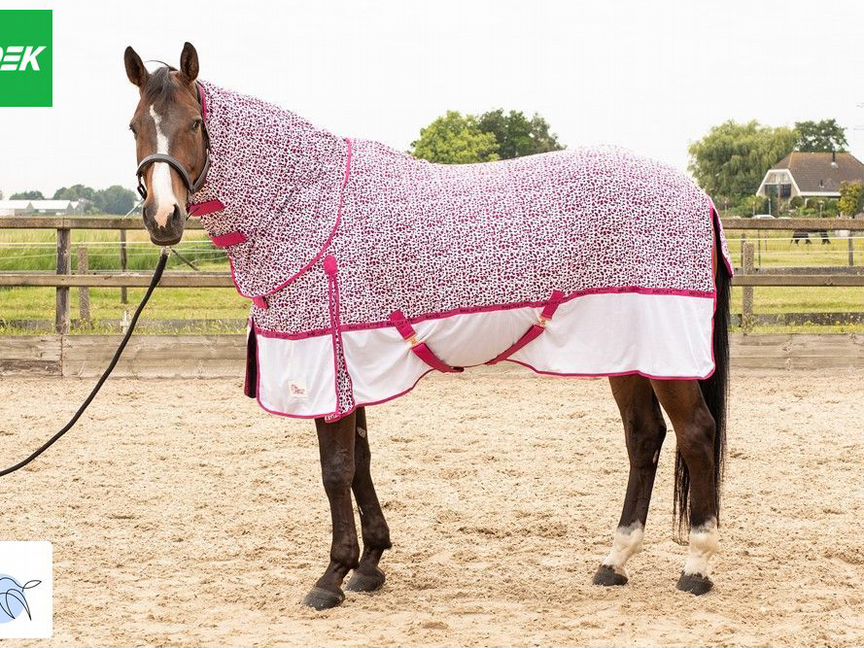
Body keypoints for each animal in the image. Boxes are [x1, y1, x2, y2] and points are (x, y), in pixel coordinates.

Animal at [124, 42, 731, 610]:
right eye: (134, 125)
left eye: (194, 122)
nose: (163, 219)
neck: (311, 206)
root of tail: (700, 197)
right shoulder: (353, 365)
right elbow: (361, 463)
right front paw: (370, 565)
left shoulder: (326, 365)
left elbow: (335, 469)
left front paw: (332, 576)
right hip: (625, 351)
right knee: (644, 438)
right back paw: (615, 561)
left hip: (667, 354)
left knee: (696, 435)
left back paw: (697, 568)